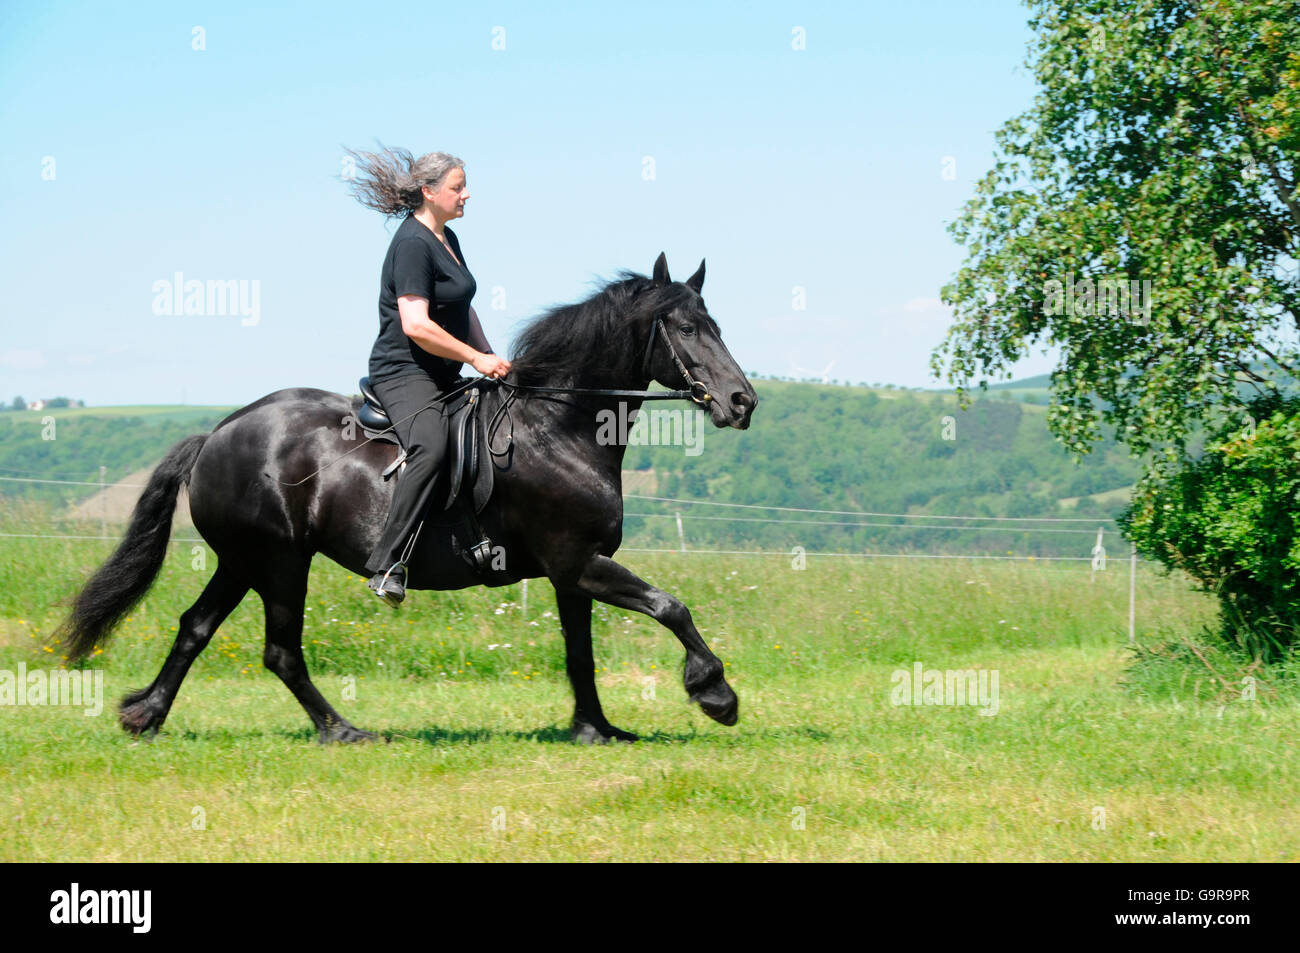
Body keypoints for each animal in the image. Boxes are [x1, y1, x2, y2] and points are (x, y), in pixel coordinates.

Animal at [56, 253, 758, 744]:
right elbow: (671, 607)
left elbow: (579, 655)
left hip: (242, 561)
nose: (742, 402)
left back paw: (145, 715)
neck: (560, 427)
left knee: (195, 628)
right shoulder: (580, 563)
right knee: (280, 650)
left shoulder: (570, 573)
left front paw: (596, 729)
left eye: (717, 325)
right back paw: (342, 730)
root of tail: (217, 434)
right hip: (280, 562)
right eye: (688, 328)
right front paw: (715, 695)